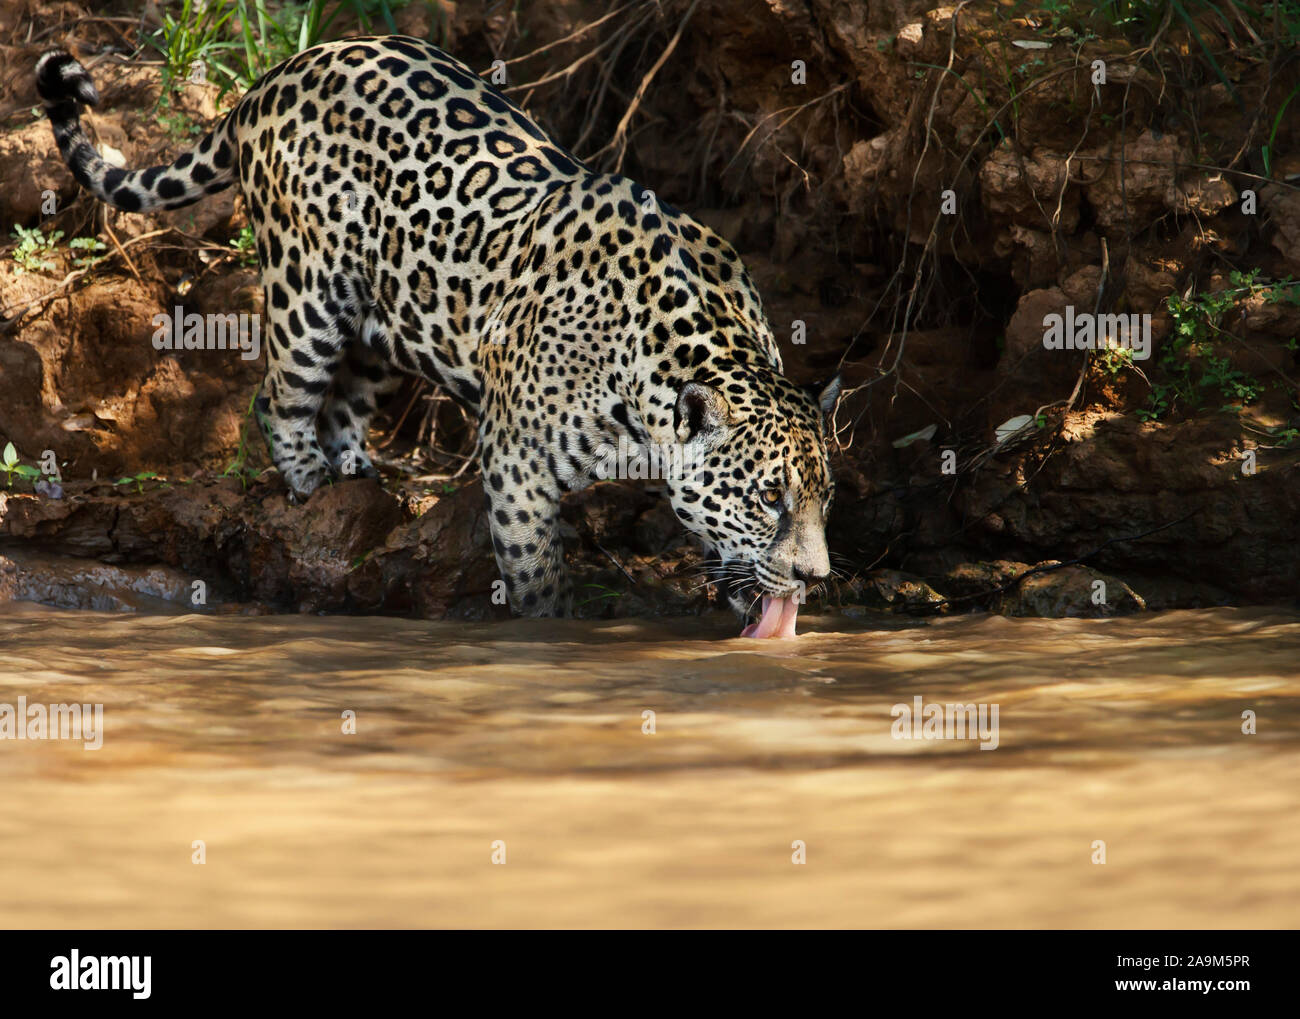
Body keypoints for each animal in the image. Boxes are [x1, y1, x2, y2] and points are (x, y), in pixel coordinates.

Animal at [36, 35, 840, 635]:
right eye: (769, 498)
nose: (814, 577)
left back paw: (358, 472)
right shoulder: (516, 463)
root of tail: (281, 73)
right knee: (278, 395)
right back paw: (309, 480)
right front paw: (556, 638)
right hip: (307, 292)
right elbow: (539, 582)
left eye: (823, 498)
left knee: (347, 396)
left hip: (391, 315)